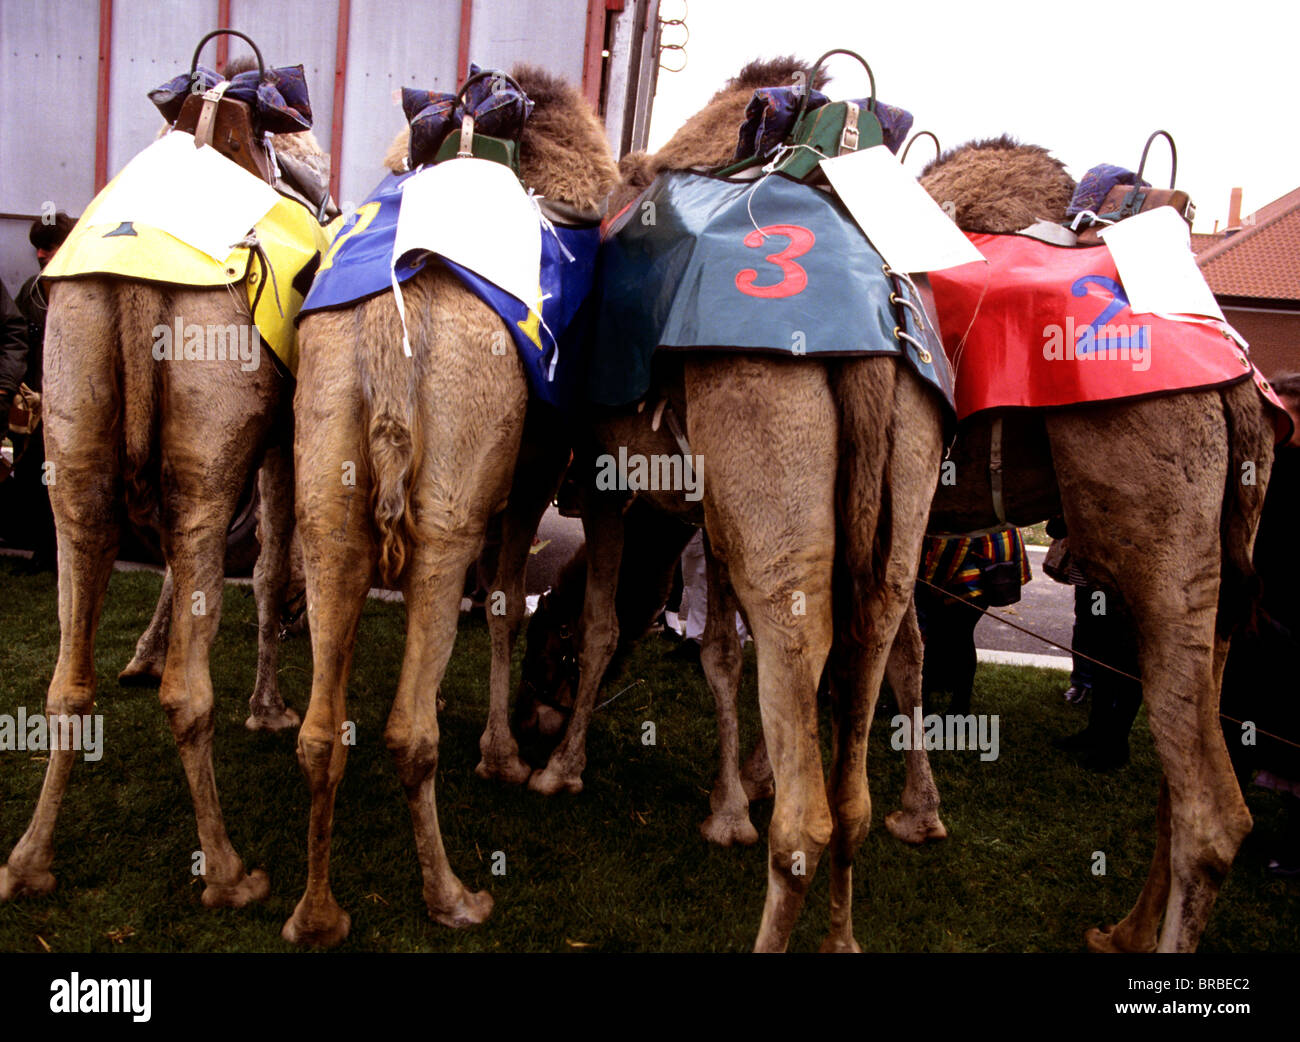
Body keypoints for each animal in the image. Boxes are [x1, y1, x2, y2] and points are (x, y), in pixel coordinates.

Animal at [0, 49, 328, 906]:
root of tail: (137, 279)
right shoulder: (278, 433)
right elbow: (272, 560)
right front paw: (268, 710)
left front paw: (141, 656)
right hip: (205, 448)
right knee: (189, 686)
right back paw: (231, 873)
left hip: (75, 432)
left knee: (65, 680)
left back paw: (28, 862)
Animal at [282, 64, 619, 946]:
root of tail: (385, 333)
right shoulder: (532, 465)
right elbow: (504, 600)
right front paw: (503, 757)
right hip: (446, 515)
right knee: (409, 729)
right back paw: (454, 897)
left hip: (328, 494)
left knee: (321, 729)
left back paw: (316, 914)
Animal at [479, 56, 950, 951]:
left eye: (552, 647)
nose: (532, 717)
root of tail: (873, 314)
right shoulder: (714, 515)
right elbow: (721, 652)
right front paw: (726, 808)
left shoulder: (608, 475)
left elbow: (607, 620)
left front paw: (558, 771)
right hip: (890, 516)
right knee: (858, 766)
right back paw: (849, 923)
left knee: (808, 820)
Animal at [919, 137, 1276, 951]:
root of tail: (1238, 379)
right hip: (1217, 570)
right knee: (1178, 776)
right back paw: (1122, 932)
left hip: (1155, 547)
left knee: (1213, 810)